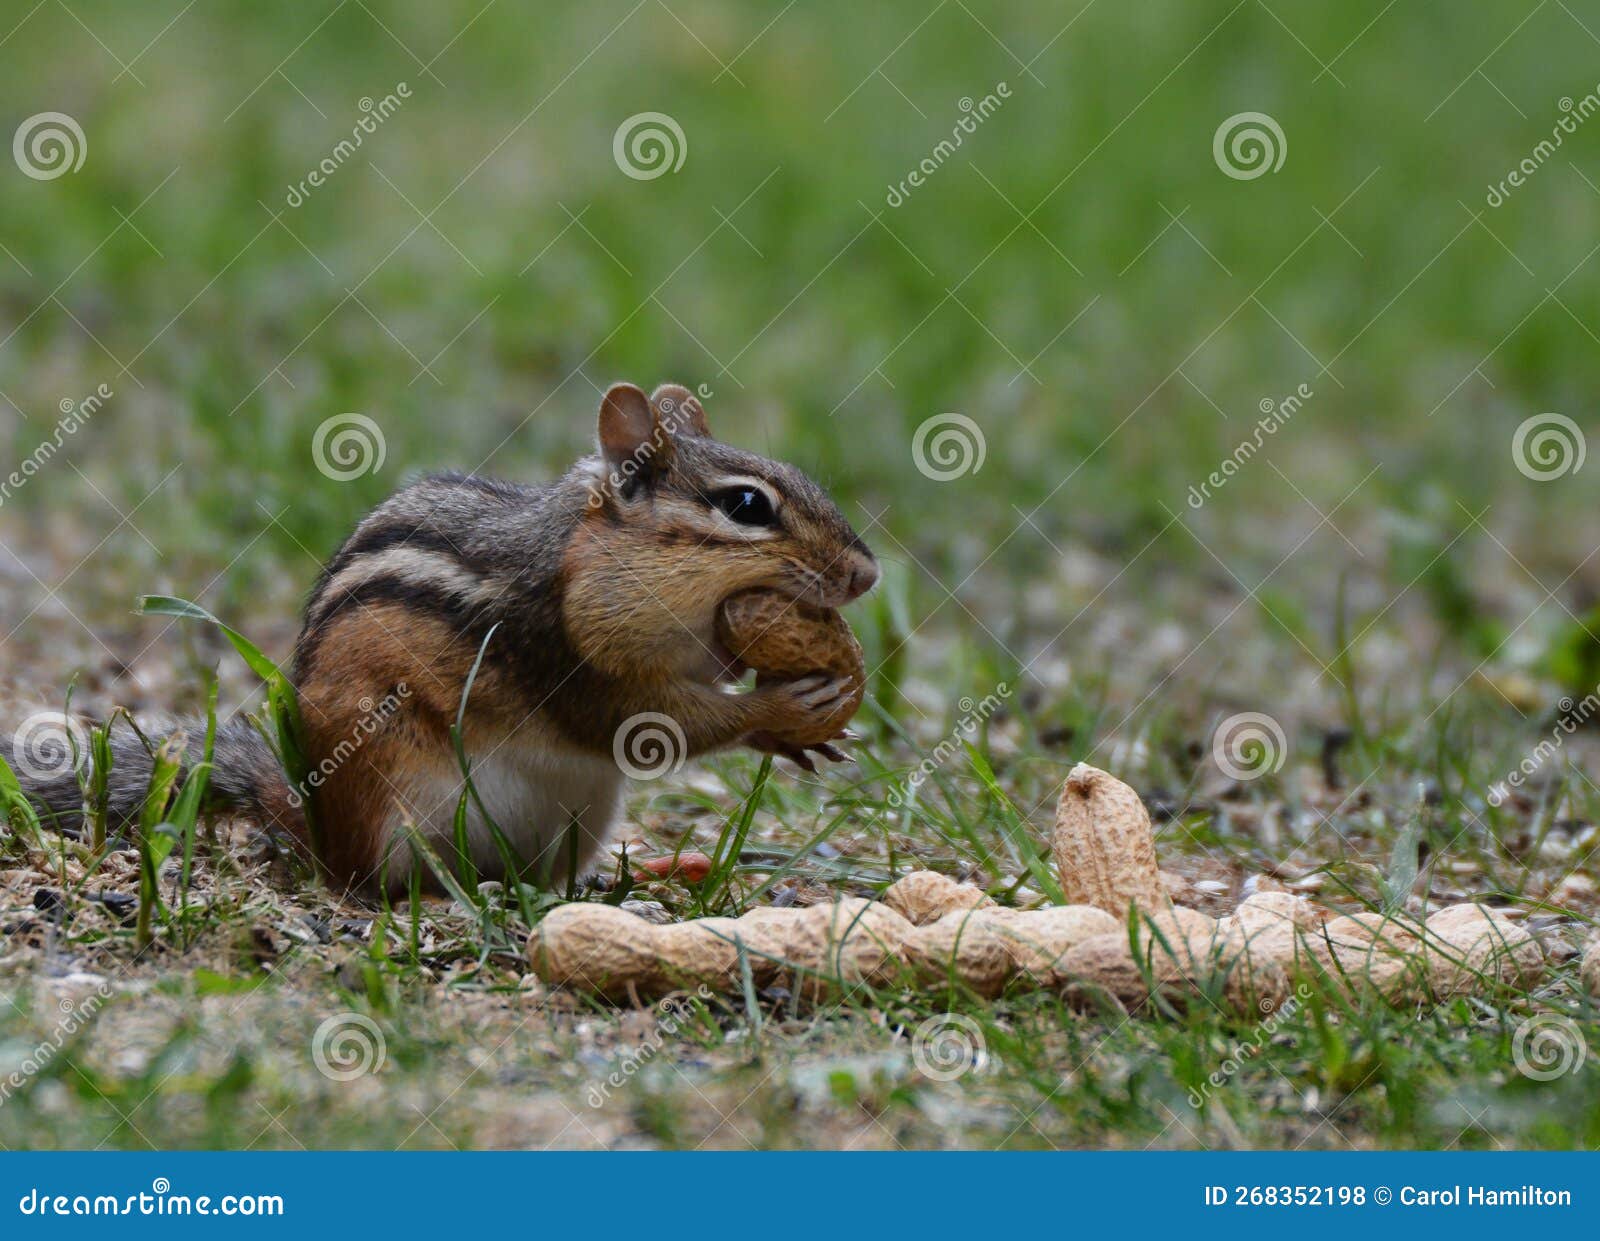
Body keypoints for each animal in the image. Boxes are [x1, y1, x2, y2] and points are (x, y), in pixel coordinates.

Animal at [14, 382, 878, 898]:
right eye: (747, 506)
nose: (867, 573)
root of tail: (310, 818)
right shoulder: (563, 655)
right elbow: (651, 724)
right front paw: (781, 711)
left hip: (583, 812)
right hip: (400, 793)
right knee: (386, 879)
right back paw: (460, 888)